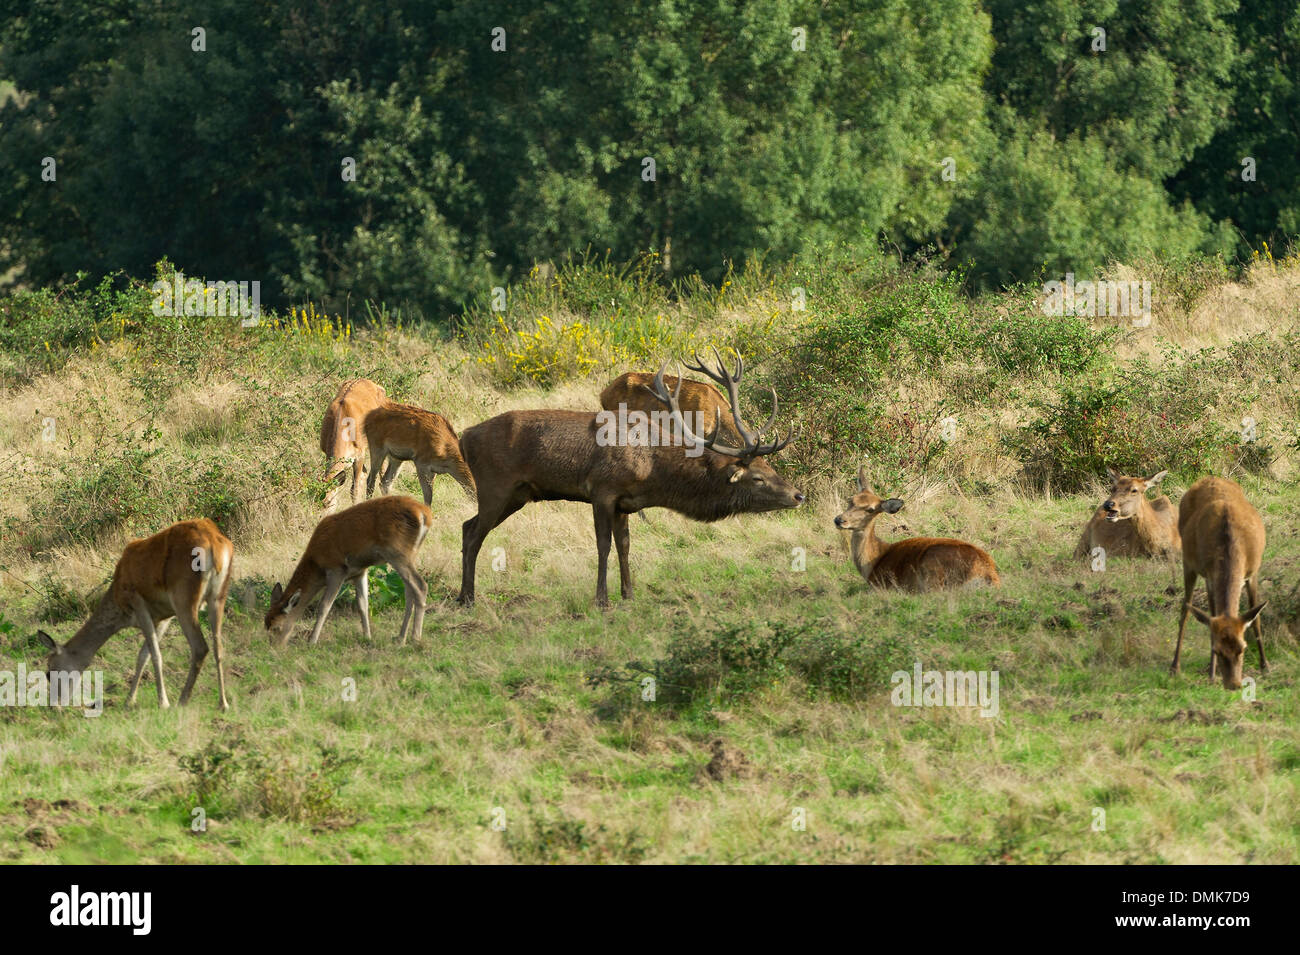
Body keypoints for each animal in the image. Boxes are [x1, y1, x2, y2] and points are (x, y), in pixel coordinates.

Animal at [36, 519, 233, 710]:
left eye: (49, 672)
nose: (53, 706)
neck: (120, 607)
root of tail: (216, 546)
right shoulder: (164, 616)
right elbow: (143, 655)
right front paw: (129, 700)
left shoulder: (138, 602)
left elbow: (154, 654)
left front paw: (162, 703)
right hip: (218, 596)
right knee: (218, 647)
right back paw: (223, 703)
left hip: (184, 597)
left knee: (200, 647)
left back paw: (182, 701)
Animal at [265, 495, 432, 647]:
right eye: (265, 624)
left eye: (277, 627)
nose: (275, 647)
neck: (317, 564)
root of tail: (425, 514)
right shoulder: (360, 571)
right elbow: (363, 605)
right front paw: (367, 637)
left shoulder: (337, 569)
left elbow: (324, 606)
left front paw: (312, 641)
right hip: (410, 554)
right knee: (409, 591)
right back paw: (401, 638)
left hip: (396, 552)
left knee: (420, 586)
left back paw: (415, 638)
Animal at [456, 349, 804, 608]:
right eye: (757, 478)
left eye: (769, 467)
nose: (798, 495)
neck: (652, 471)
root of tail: (464, 437)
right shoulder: (602, 490)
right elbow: (604, 545)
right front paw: (602, 600)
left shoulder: (625, 503)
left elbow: (624, 545)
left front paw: (629, 594)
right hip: (494, 487)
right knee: (474, 534)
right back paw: (468, 598)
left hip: (516, 495)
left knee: (466, 525)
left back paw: (463, 595)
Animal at [834, 468, 1000, 591]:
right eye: (850, 500)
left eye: (870, 509)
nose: (839, 519)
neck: (873, 562)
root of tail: (989, 576)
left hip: (932, 567)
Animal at [1170, 476, 1267, 690]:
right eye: (1217, 650)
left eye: (1242, 648)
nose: (1234, 684)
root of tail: (1210, 477)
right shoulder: (1209, 575)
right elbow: (1211, 618)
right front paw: (1212, 673)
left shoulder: (1253, 571)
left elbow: (1255, 617)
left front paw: (1265, 666)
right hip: (1188, 562)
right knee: (1185, 611)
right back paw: (1175, 666)